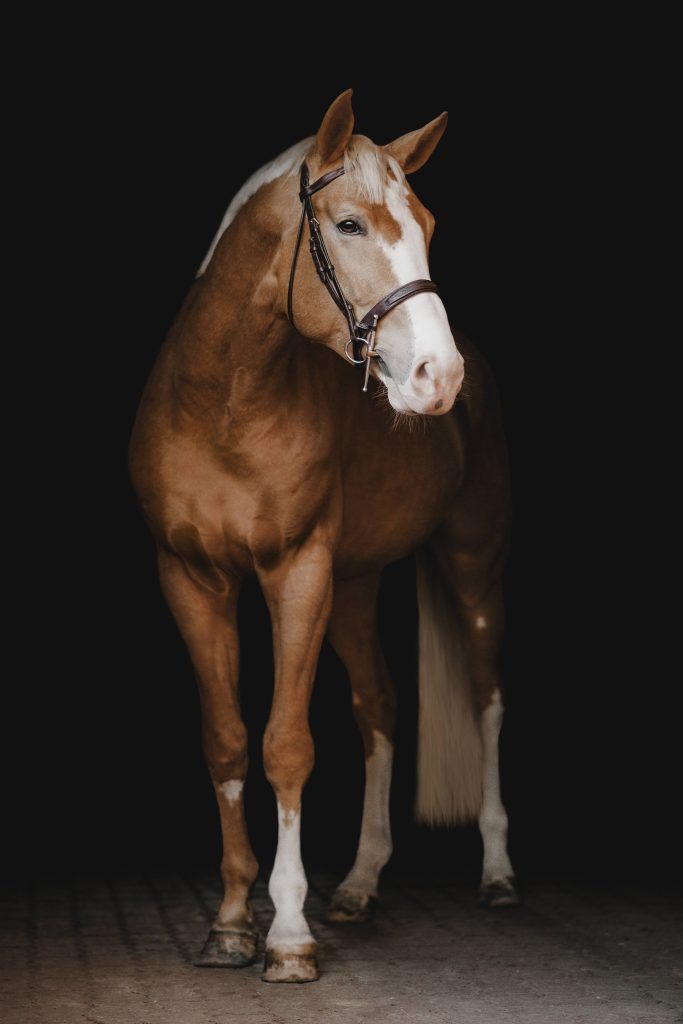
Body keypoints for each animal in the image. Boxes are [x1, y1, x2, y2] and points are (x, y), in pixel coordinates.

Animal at [129, 89, 518, 984]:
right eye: (347, 225)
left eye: (428, 223)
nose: (436, 378)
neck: (224, 406)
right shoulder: (190, 579)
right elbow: (228, 742)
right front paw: (230, 923)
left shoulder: (295, 572)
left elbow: (286, 746)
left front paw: (287, 933)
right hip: (355, 586)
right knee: (379, 705)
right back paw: (361, 883)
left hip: (470, 562)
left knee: (485, 698)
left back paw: (496, 873)